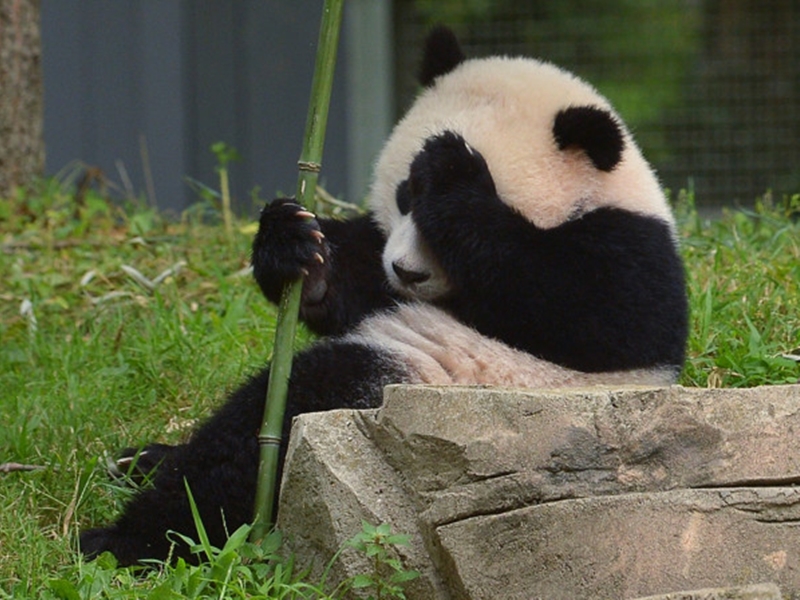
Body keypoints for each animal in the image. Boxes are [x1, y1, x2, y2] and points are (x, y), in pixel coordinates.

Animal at [79, 26, 688, 566]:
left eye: (432, 211)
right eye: (402, 196)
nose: (406, 272)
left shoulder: (629, 253)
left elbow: (582, 310)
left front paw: (454, 168)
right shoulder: (380, 266)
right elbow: (354, 283)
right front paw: (295, 247)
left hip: (428, 391)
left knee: (268, 427)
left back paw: (130, 539)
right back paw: (144, 461)